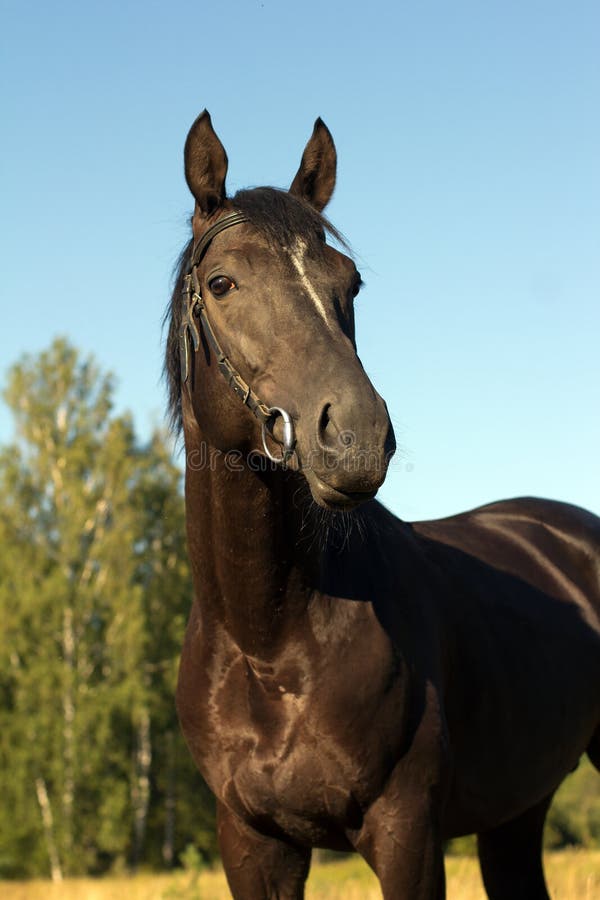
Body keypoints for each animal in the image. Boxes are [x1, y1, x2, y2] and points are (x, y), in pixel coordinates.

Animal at [165, 110, 600, 899]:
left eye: (352, 282)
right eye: (222, 282)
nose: (356, 437)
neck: (270, 641)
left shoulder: (407, 836)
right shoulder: (252, 845)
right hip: (516, 812)